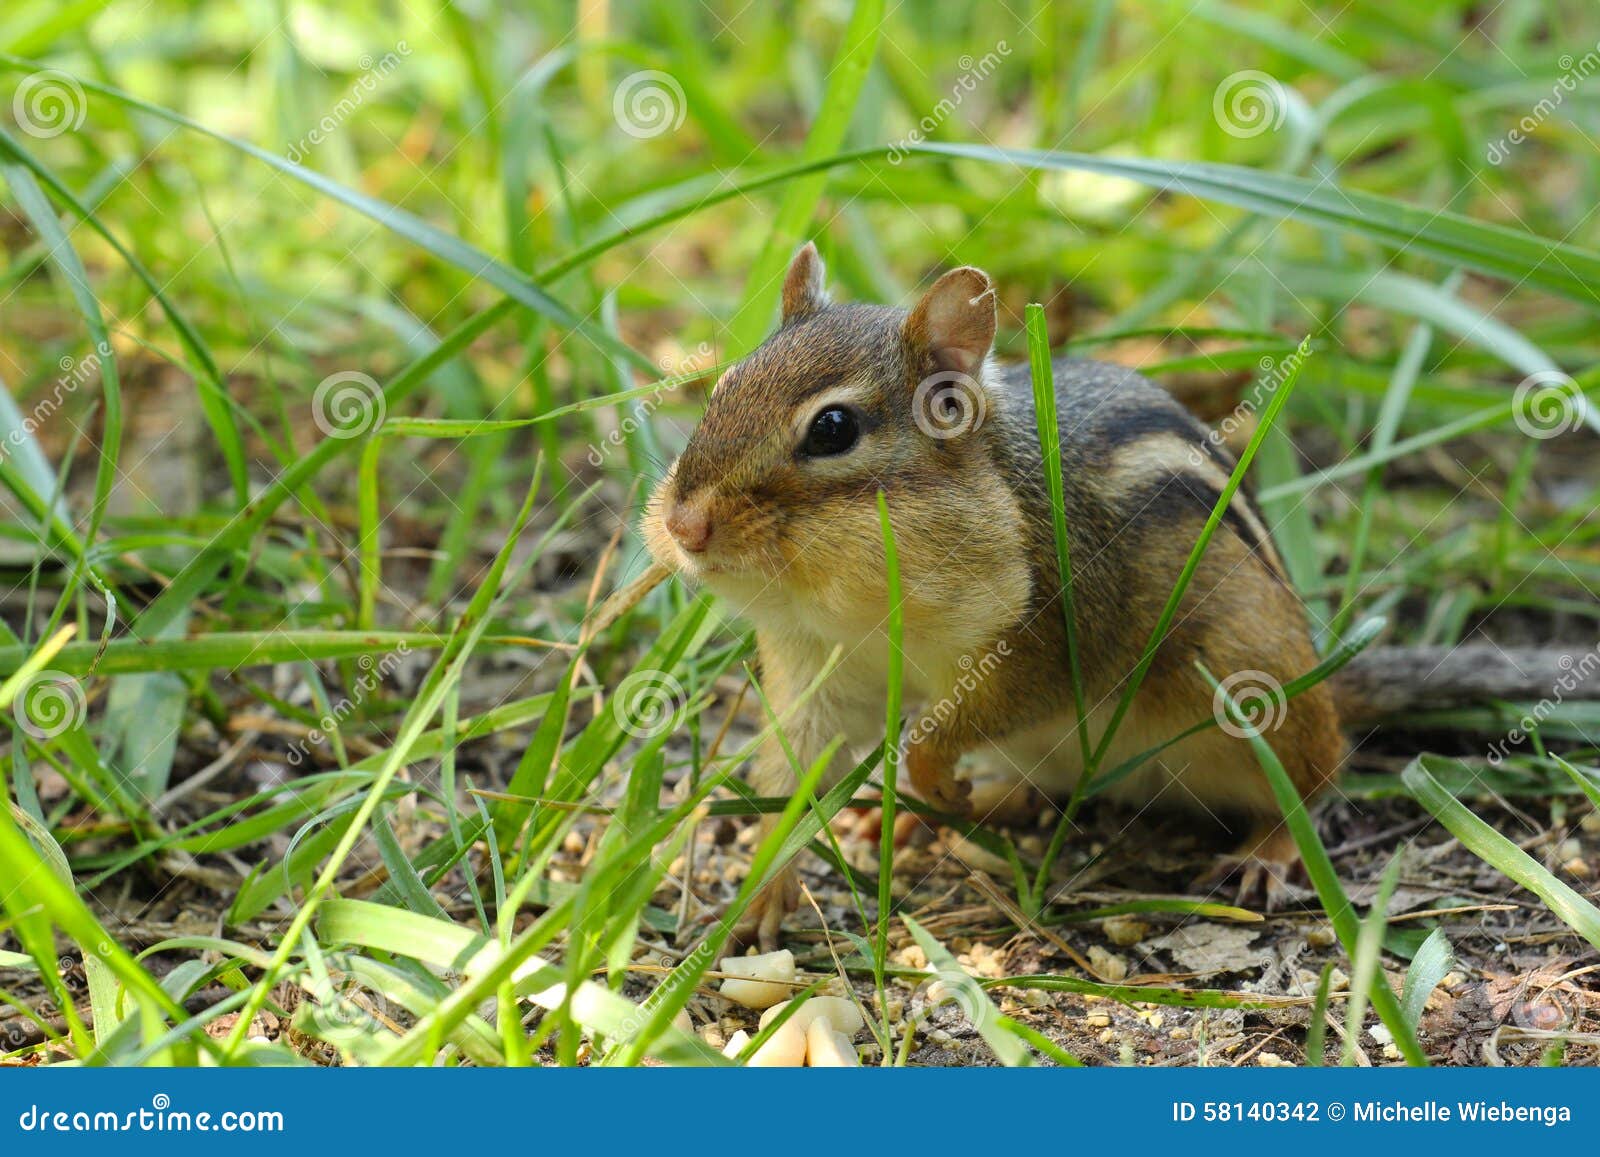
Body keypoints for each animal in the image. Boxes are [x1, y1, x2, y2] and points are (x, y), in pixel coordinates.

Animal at [642, 243, 1598, 949]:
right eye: (722, 388)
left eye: (833, 429)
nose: (684, 523)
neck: (849, 595)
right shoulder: (816, 667)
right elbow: (792, 768)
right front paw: (762, 893)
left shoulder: (1054, 630)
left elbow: (961, 714)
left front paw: (926, 767)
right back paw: (950, 812)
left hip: (1250, 674)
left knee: (1318, 771)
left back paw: (1268, 850)